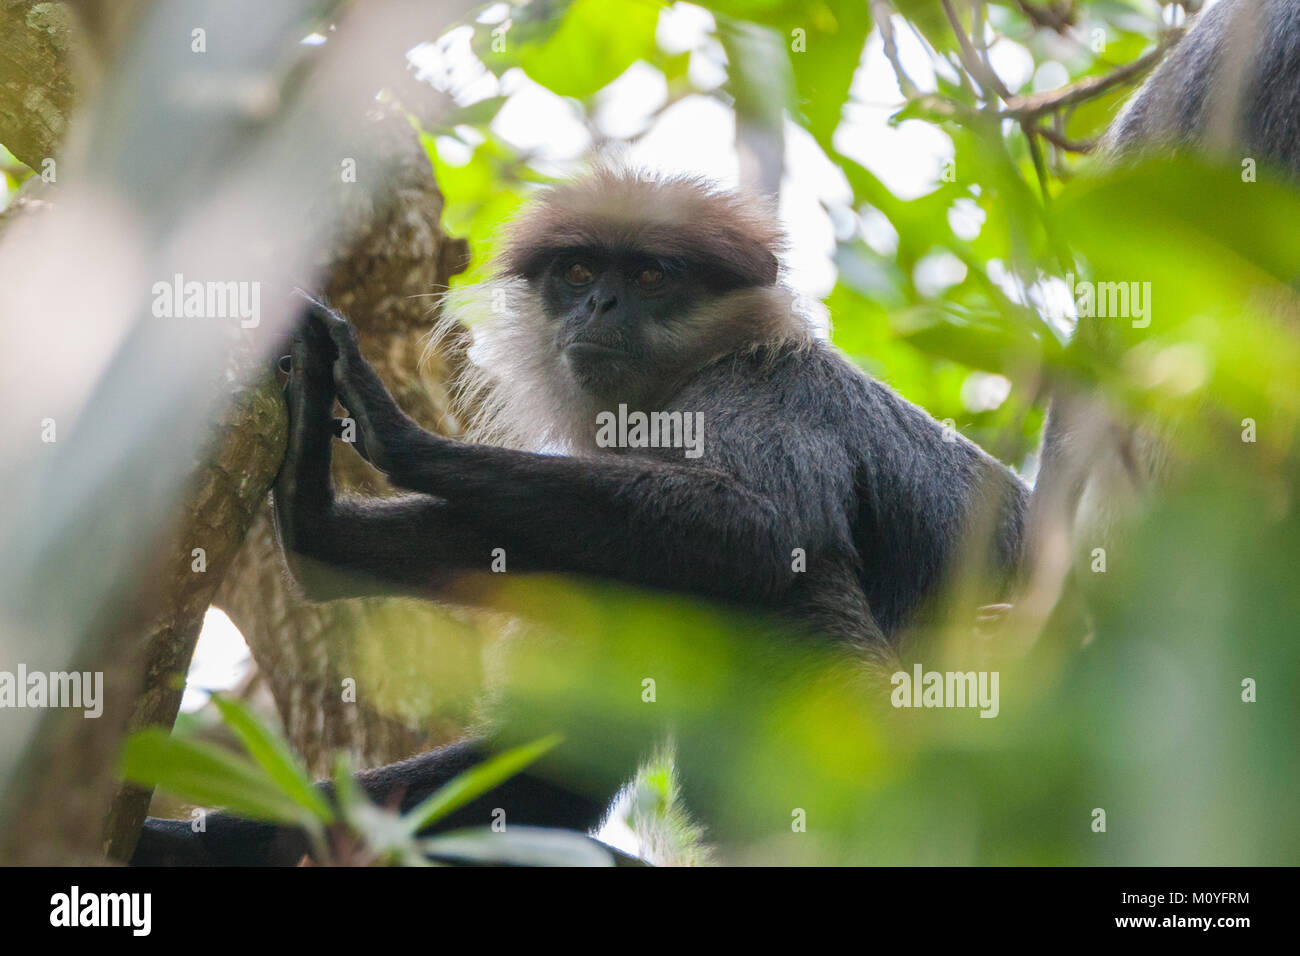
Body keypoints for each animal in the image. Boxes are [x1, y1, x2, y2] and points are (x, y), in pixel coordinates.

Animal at [131, 167, 1027, 865]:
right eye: (578, 269)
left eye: (654, 277)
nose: (599, 305)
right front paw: (313, 514)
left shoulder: (765, 389)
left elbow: (765, 528)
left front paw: (393, 429)